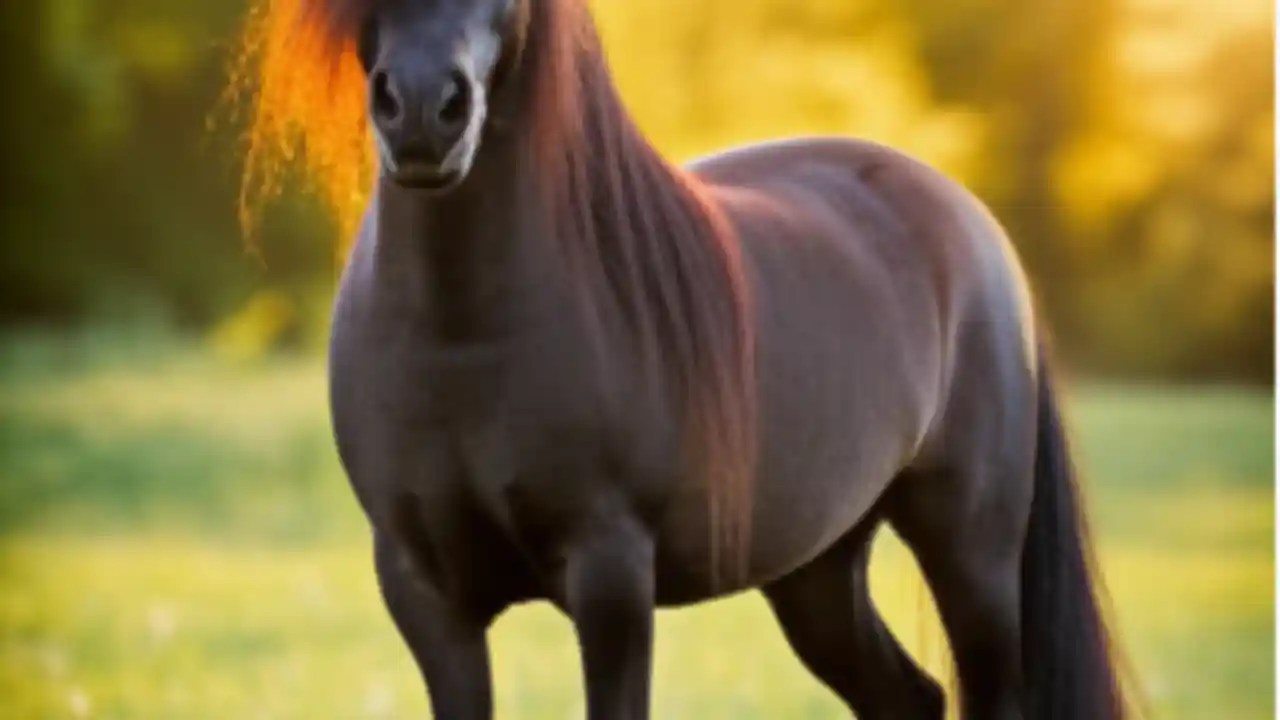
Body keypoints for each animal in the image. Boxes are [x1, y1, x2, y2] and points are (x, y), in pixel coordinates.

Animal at [235, 0, 1131, 718]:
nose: (425, 111)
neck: (463, 338)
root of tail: (973, 222)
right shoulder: (427, 595)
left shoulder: (611, 580)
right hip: (819, 571)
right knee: (905, 697)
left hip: (973, 555)